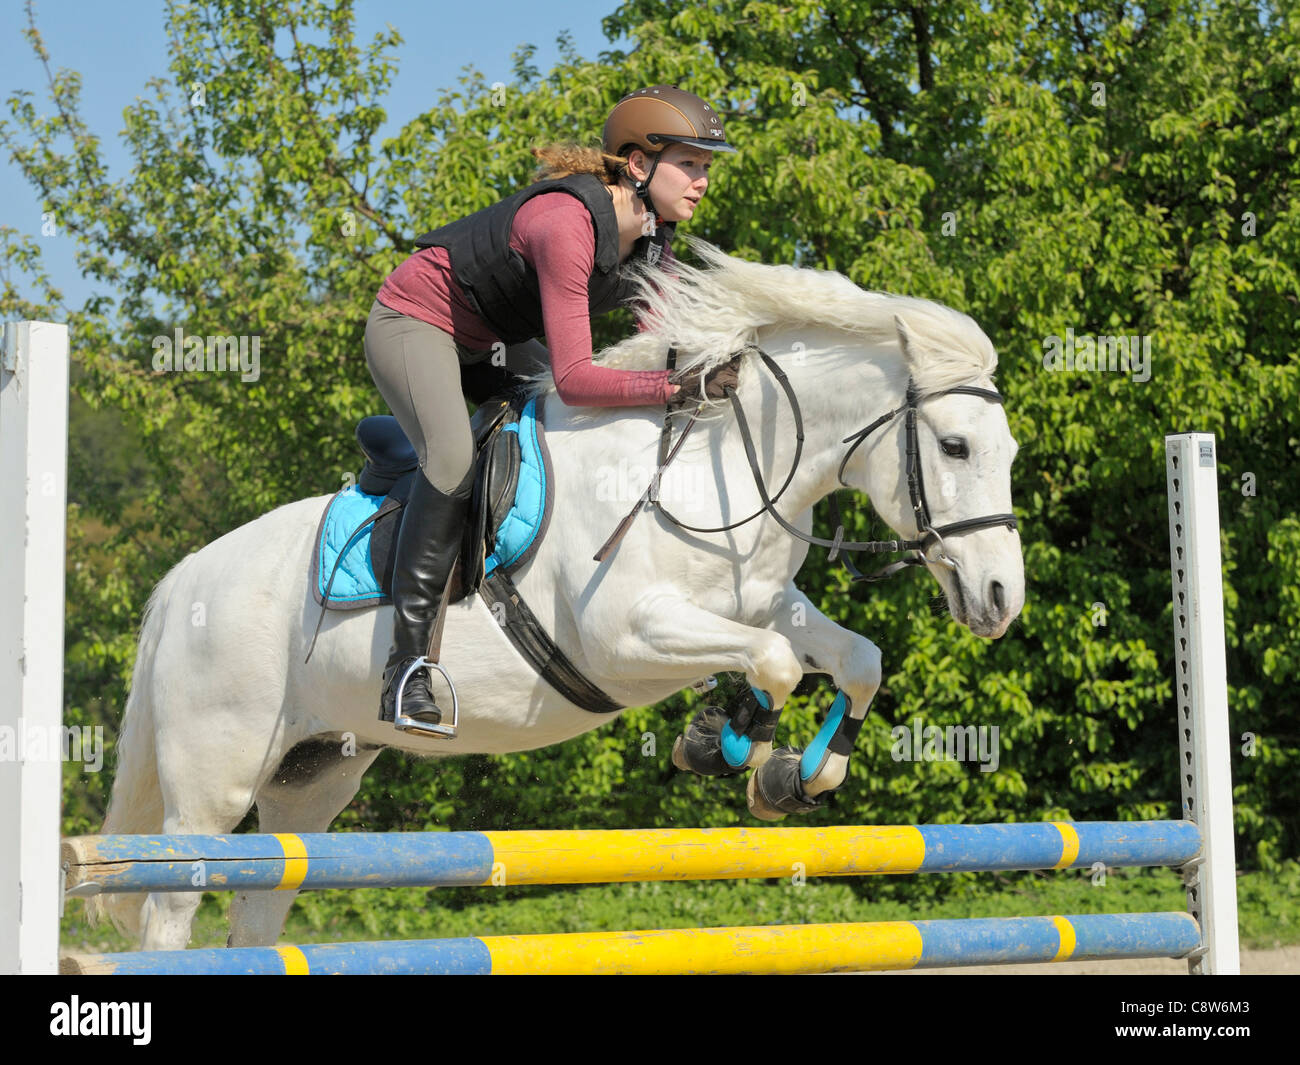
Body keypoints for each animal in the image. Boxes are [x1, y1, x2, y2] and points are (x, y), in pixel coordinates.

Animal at [87, 238, 1024, 951]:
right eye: (954, 445)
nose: (1001, 597)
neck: (716, 463)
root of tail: (183, 582)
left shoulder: (761, 601)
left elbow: (851, 659)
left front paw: (792, 775)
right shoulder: (626, 636)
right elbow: (777, 664)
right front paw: (725, 743)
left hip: (308, 782)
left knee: (260, 903)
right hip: (214, 778)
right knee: (172, 904)